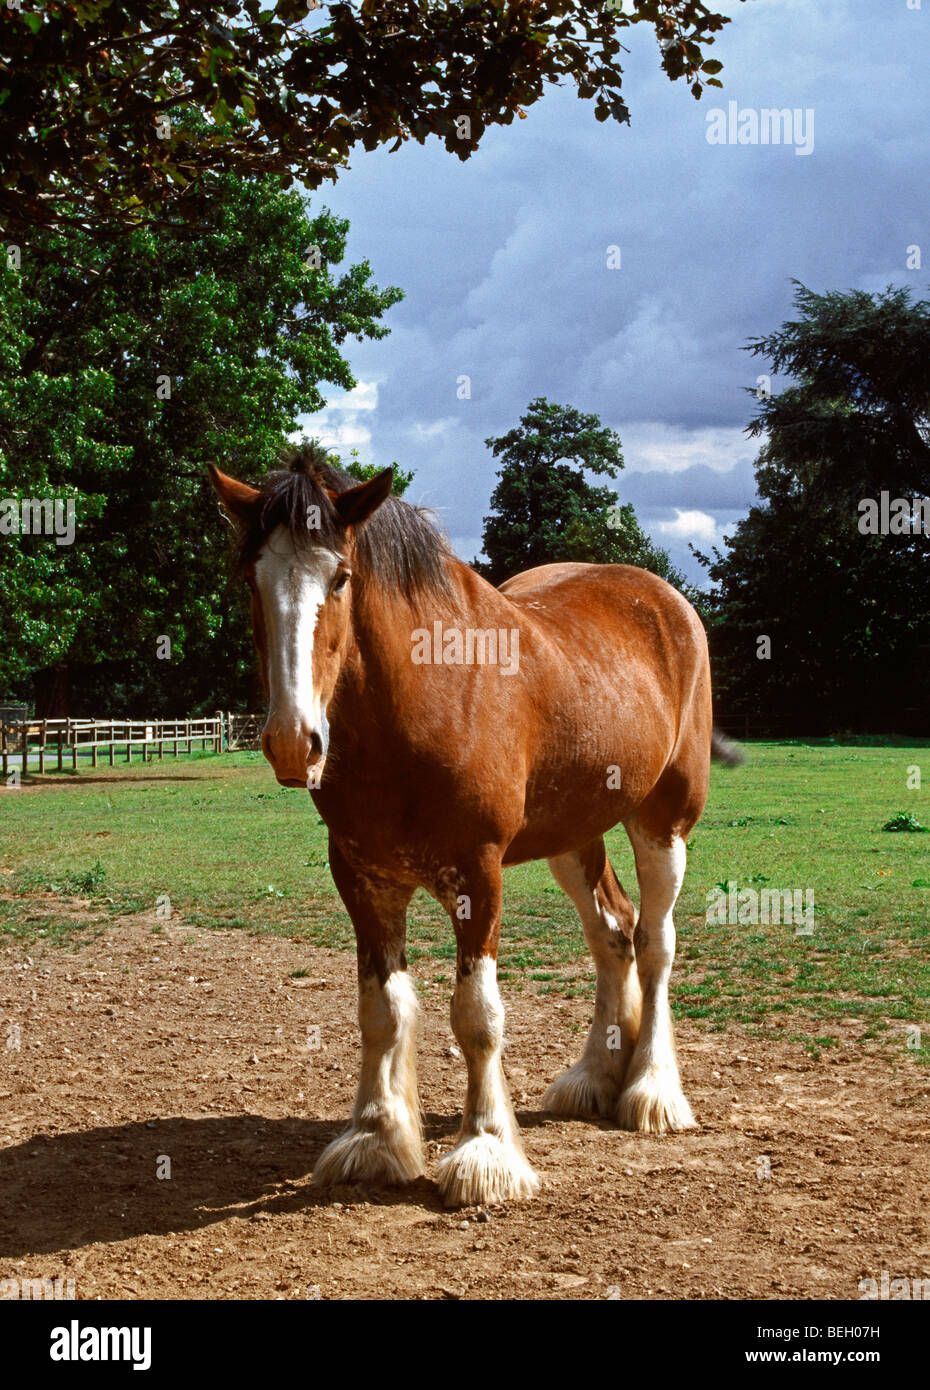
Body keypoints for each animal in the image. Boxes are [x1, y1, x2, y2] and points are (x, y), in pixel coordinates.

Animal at [209, 444, 738, 1207]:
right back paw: (593, 1079)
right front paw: (375, 1138)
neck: (426, 697)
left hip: (662, 821)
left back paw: (651, 1091)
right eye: (250, 577)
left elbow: (478, 1016)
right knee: (612, 935)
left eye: (340, 576)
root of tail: (665, 600)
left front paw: (486, 1151)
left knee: (655, 942)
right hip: (572, 836)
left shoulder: (478, 873)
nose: (292, 742)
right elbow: (382, 1010)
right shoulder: (363, 877)